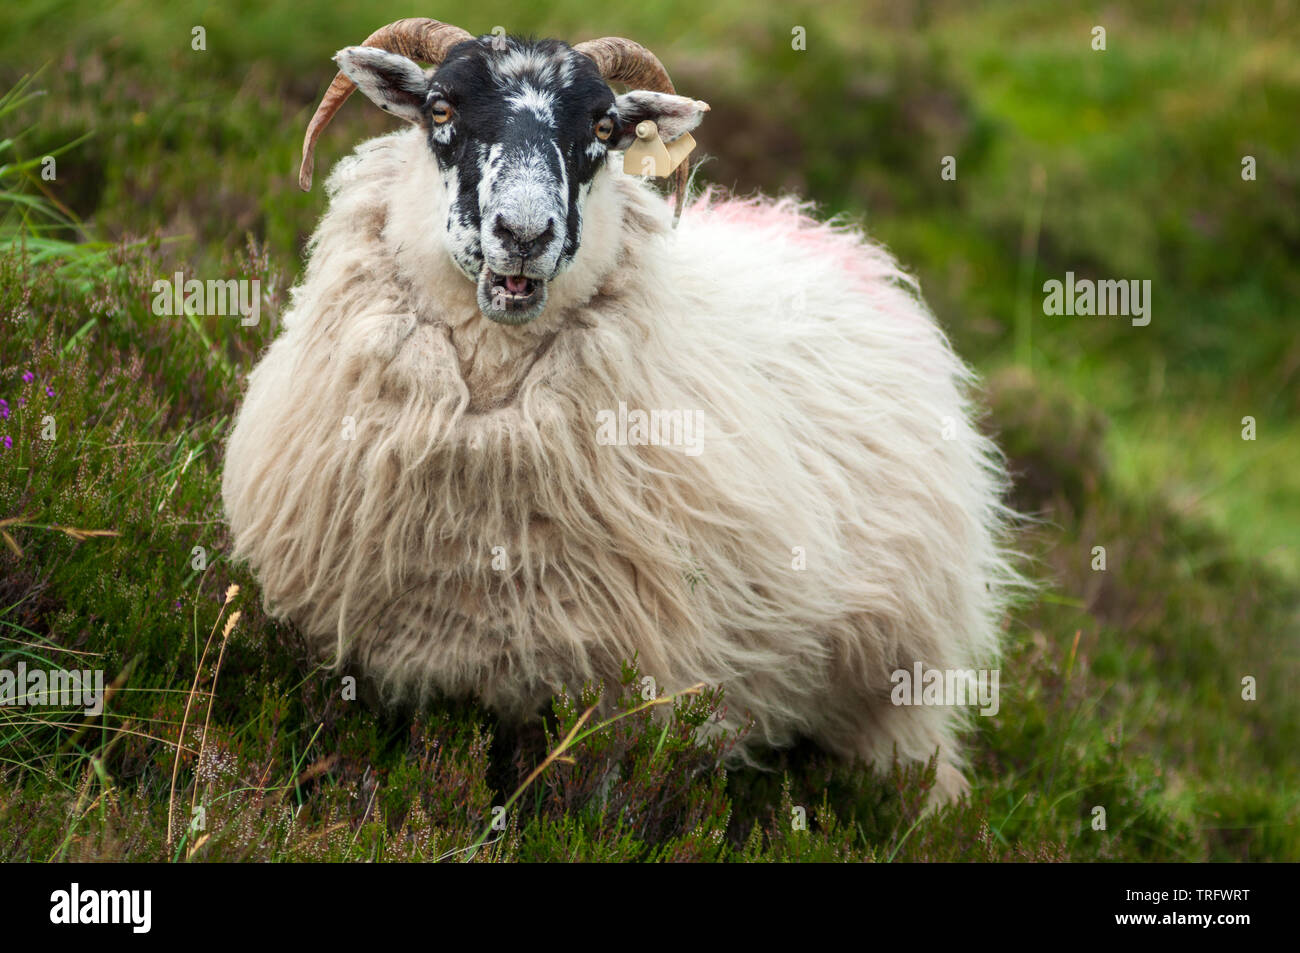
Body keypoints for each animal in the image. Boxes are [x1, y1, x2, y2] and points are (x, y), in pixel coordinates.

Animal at [222, 18, 1021, 803]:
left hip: (897, 686)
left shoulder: (611, 700)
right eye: (440, 109)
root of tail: (836, 242)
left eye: (604, 127)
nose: (524, 235)